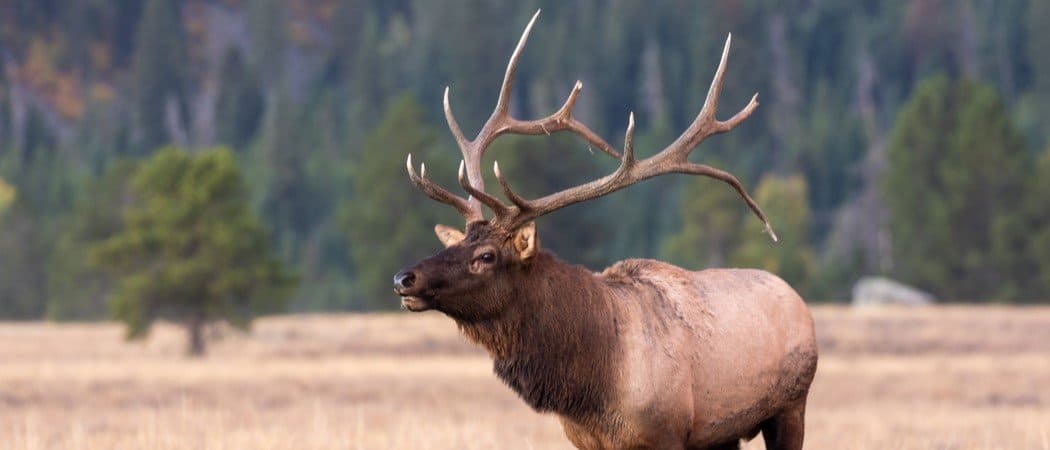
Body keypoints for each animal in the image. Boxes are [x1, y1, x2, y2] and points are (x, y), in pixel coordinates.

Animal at [393, 11, 817, 450]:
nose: (404, 278)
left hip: (791, 405)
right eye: (459, 243)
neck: (592, 386)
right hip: (723, 435)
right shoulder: (585, 440)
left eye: (486, 256)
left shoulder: (667, 432)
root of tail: (799, 303)